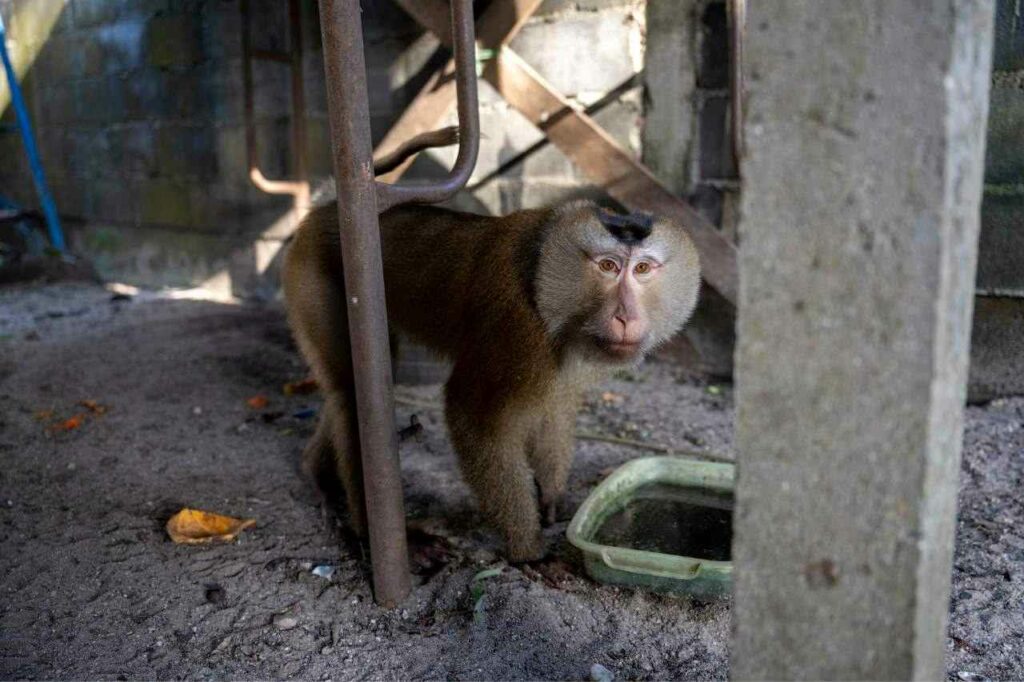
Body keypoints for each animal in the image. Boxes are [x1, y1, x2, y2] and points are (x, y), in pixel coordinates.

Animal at [283, 135, 701, 563]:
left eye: (643, 269)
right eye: (608, 267)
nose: (625, 316)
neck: (544, 275)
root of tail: (329, 209)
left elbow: (556, 406)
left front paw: (551, 496)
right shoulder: (517, 331)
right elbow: (472, 416)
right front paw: (528, 549)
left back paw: (316, 473)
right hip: (314, 276)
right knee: (353, 394)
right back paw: (370, 531)